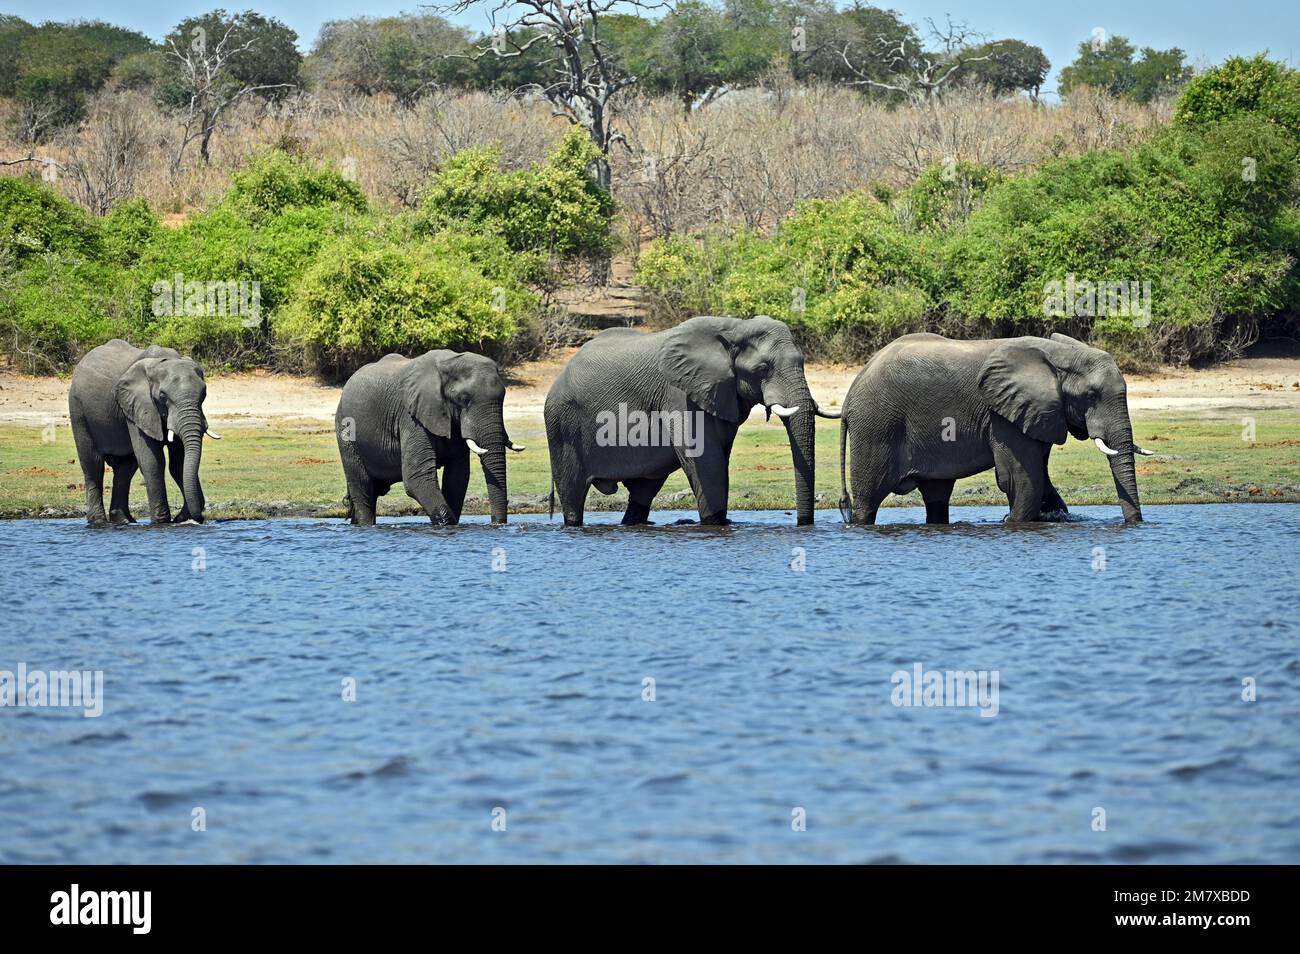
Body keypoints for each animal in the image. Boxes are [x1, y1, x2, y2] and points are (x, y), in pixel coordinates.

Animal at [68, 339, 219, 526]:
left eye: (204, 394)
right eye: (163, 396)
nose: (200, 518)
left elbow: (179, 463)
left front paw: (182, 519)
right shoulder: (137, 405)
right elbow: (152, 461)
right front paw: (162, 522)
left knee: (125, 468)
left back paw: (124, 521)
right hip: (78, 409)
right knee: (93, 464)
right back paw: (99, 521)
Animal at [335, 350, 523, 525]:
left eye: (503, 396)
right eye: (463, 399)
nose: (497, 522)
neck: (449, 362)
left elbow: (457, 477)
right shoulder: (411, 418)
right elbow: (417, 477)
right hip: (346, 432)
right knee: (363, 490)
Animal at [544, 315, 840, 527]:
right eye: (762, 368)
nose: (804, 524)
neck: (735, 327)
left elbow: (720, 458)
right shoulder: (678, 393)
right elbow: (705, 459)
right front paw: (715, 523)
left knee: (644, 491)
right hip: (561, 425)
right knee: (573, 496)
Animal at [839, 332, 1153, 525]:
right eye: (1091, 396)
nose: (1135, 523)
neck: (1060, 354)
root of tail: (852, 389)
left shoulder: (1039, 413)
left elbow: (1042, 479)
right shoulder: (1002, 415)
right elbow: (1021, 478)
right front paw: (1010, 523)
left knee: (936, 496)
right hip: (876, 426)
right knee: (868, 500)